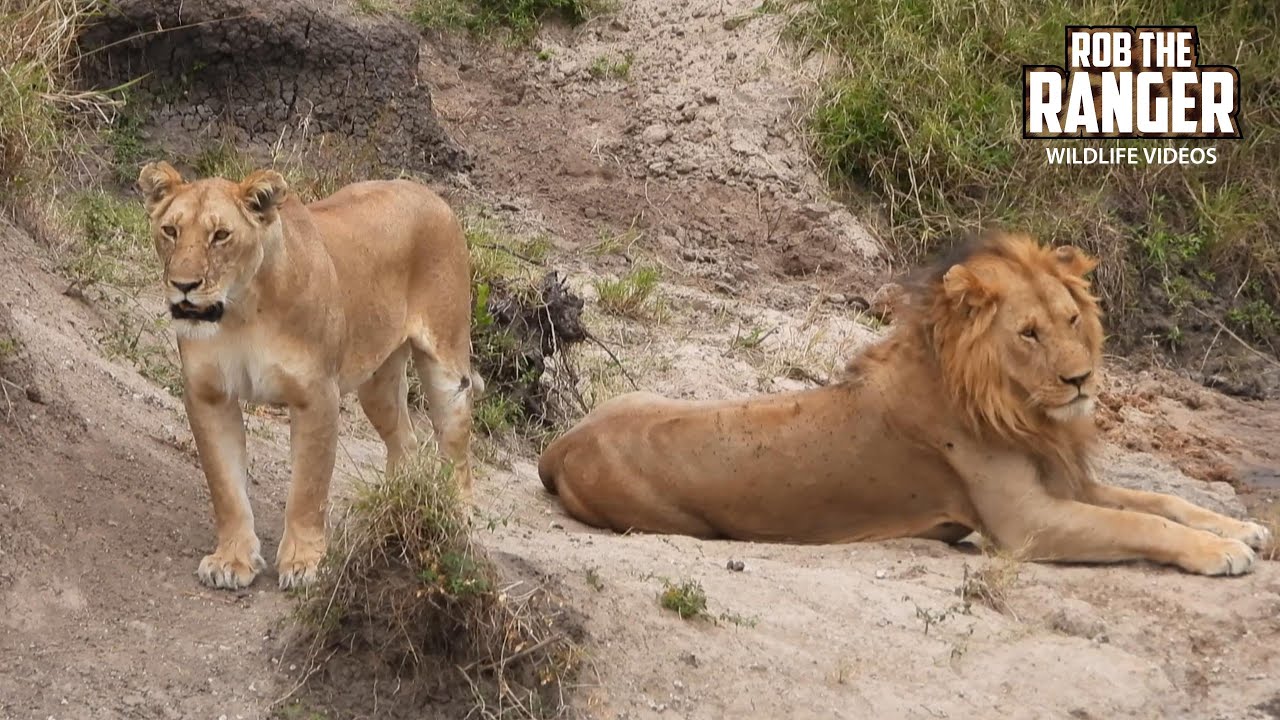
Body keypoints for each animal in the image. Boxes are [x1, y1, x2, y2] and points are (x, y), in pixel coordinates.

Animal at [137, 161, 480, 591]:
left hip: (445, 363)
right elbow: (226, 486)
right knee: (406, 439)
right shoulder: (208, 394)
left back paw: (457, 521)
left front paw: (304, 562)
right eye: (170, 231)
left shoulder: (316, 395)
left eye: (221, 235)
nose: (184, 287)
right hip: (377, 383)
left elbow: (308, 486)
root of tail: (432, 195)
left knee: (456, 444)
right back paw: (390, 512)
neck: (240, 311)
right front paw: (232, 560)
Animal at [538, 231, 1271, 575]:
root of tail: (560, 446)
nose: (1082, 380)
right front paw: (1221, 552)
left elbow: (1161, 501)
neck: (1023, 412)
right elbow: (1140, 523)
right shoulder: (1025, 524)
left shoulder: (1067, 481)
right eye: (1028, 334)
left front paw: (1242, 529)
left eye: (1070, 319)